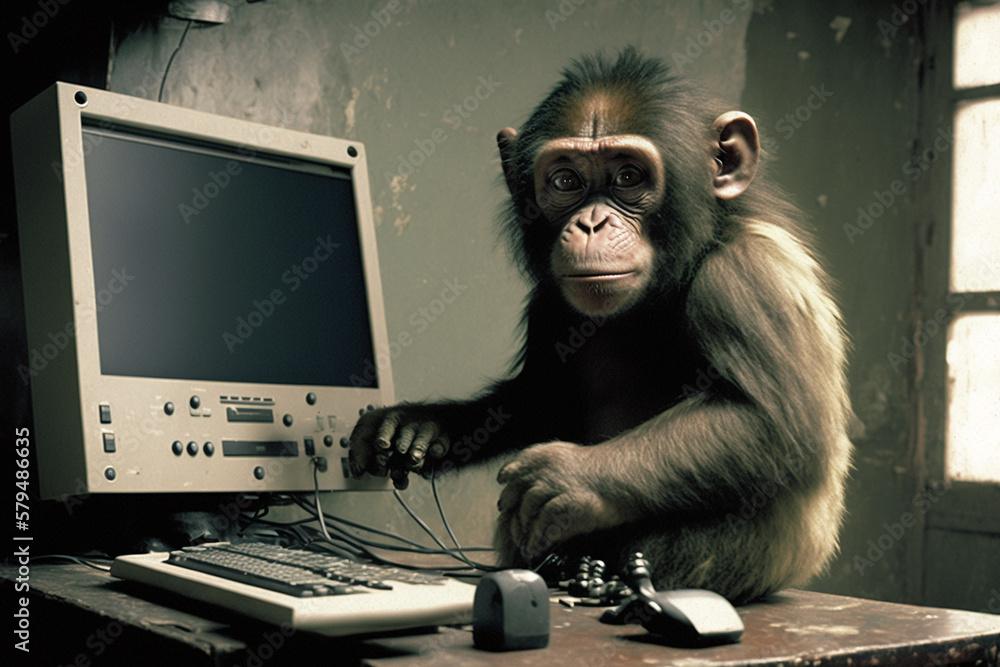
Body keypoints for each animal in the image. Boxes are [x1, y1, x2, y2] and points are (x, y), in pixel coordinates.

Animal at [348, 47, 852, 605]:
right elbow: (540, 399)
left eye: (628, 177)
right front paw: (419, 424)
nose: (591, 223)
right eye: (566, 181)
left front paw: (567, 478)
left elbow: (776, 421)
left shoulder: (746, 277)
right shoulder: (549, 302)